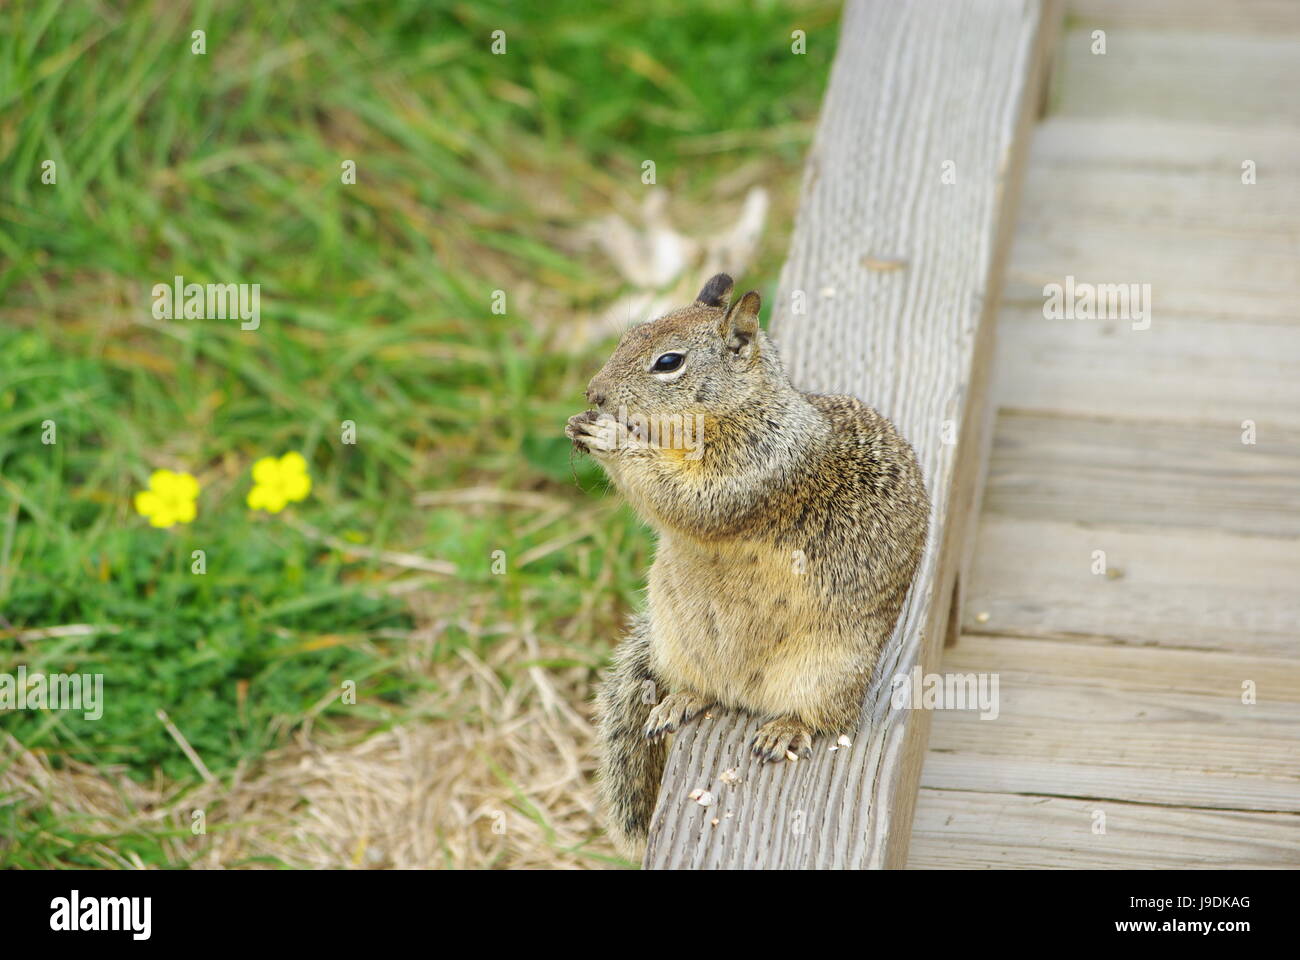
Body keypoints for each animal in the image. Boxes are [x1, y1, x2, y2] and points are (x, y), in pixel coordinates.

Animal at [565, 273, 930, 856]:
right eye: (628, 335)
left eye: (668, 362)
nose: (593, 394)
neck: (740, 408)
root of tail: (745, 692)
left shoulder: (757, 469)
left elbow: (685, 499)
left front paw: (610, 437)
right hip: (678, 640)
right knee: (701, 688)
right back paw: (681, 700)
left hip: (828, 672)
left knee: (822, 717)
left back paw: (785, 729)